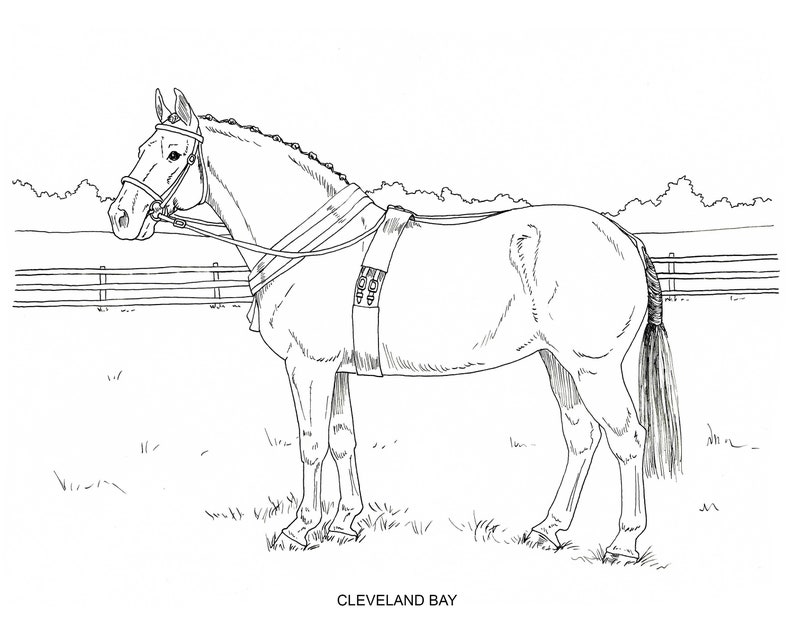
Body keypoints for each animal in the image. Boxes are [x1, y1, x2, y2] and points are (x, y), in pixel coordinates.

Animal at [107, 88, 681, 560]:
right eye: (143, 148)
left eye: (173, 154)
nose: (122, 217)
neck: (314, 244)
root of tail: (624, 238)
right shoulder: (334, 369)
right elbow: (342, 439)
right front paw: (346, 523)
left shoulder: (308, 367)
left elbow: (311, 443)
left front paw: (302, 529)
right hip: (556, 362)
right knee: (581, 436)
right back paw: (548, 530)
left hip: (593, 368)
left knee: (626, 438)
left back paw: (624, 542)